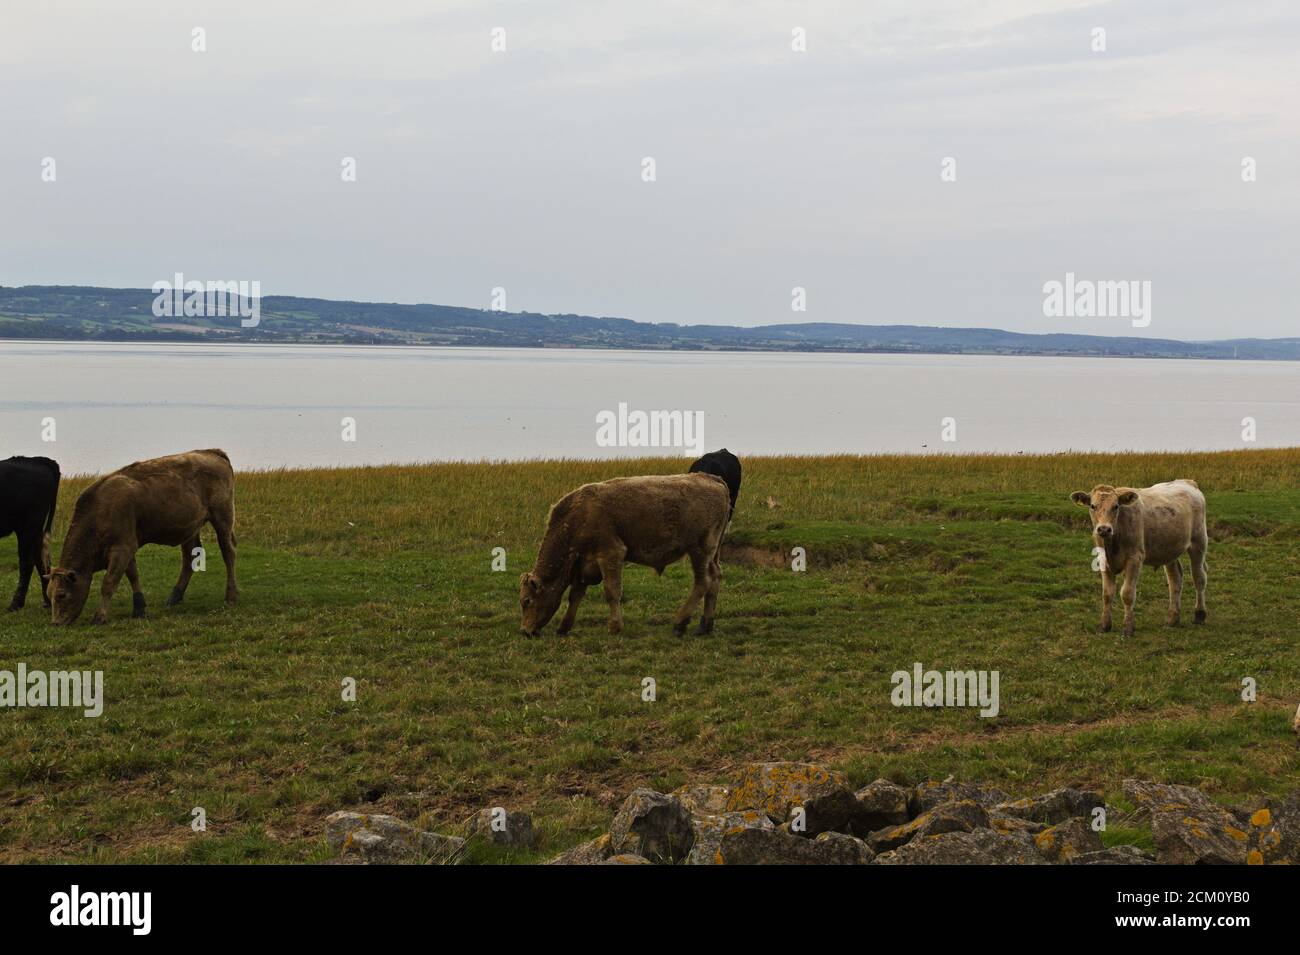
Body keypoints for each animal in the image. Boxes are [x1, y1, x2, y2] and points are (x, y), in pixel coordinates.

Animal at [0, 456, 60, 612]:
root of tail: (35, 460)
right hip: (35, 529)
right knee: (40, 559)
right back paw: (47, 601)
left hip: (27, 525)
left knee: (27, 562)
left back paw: (15, 604)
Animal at [47, 449, 238, 625]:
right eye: (49, 594)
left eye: (61, 594)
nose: (56, 623)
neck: (100, 511)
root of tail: (212, 452)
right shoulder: (127, 548)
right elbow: (133, 575)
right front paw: (139, 608)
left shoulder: (121, 549)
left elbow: (109, 583)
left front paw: (100, 616)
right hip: (191, 529)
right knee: (189, 559)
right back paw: (174, 597)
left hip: (222, 518)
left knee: (228, 553)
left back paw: (230, 596)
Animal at [519, 472, 730, 638]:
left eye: (527, 601)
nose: (525, 631)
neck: (579, 515)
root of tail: (713, 478)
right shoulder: (583, 566)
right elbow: (575, 596)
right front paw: (563, 627)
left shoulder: (610, 555)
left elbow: (612, 591)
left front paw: (614, 627)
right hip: (712, 555)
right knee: (715, 578)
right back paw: (705, 626)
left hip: (699, 550)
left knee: (703, 582)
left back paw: (680, 623)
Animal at [1070, 479, 1207, 637]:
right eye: (1093, 506)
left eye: (1116, 506)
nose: (1104, 529)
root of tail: (1187, 482)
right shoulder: (1103, 559)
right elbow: (1107, 594)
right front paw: (1104, 625)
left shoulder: (1135, 558)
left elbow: (1127, 593)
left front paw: (1128, 628)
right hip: (1169, 550)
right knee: (1175, 580)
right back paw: (1172, 618)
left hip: (1198, 543)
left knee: (1199, 578)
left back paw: (1200, 614)